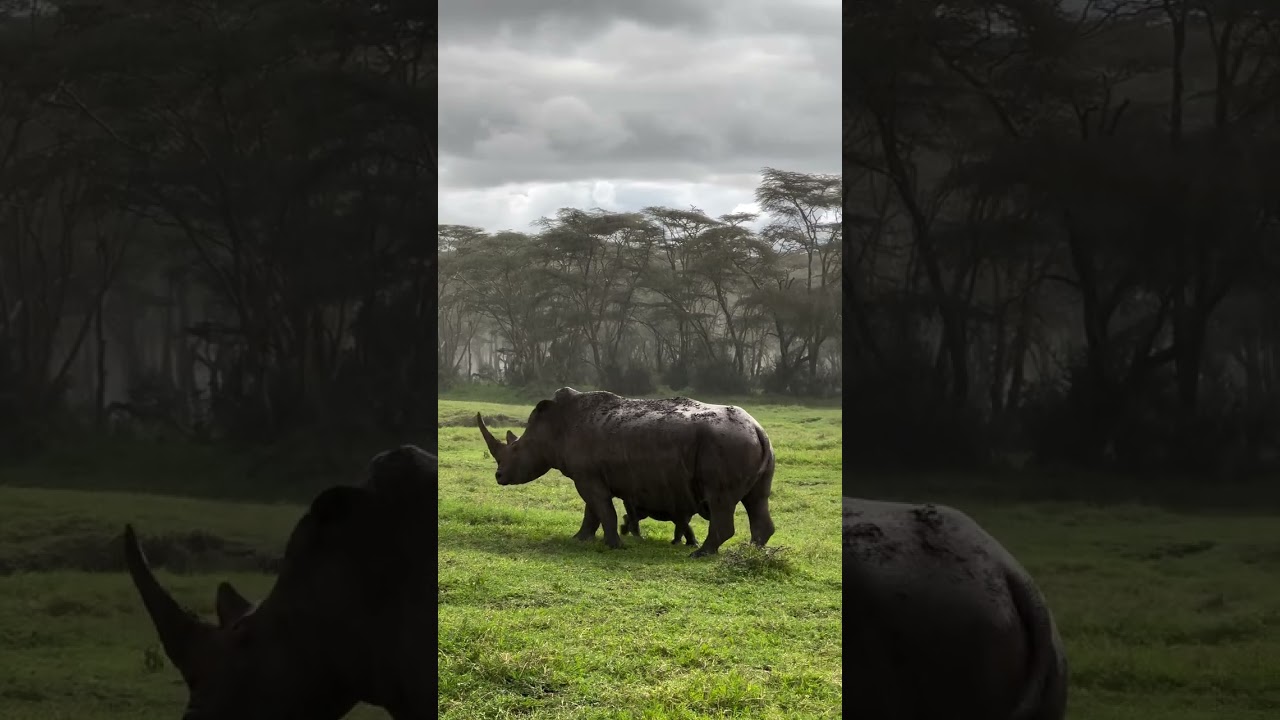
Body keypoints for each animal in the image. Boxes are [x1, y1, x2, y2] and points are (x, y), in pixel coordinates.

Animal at [476, 387, 775, 557]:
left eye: (516, 449)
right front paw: (580, 539)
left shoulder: (587, 476)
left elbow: (602, 509)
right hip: (750, 444)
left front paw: (614, 546)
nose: (498, 477)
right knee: (757, 500)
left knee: (720, 500)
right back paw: (753, 553)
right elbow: (592, 512)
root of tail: (757, 429)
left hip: (727, 444)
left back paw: (701, 555)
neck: (551, 429)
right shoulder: (590, 475)